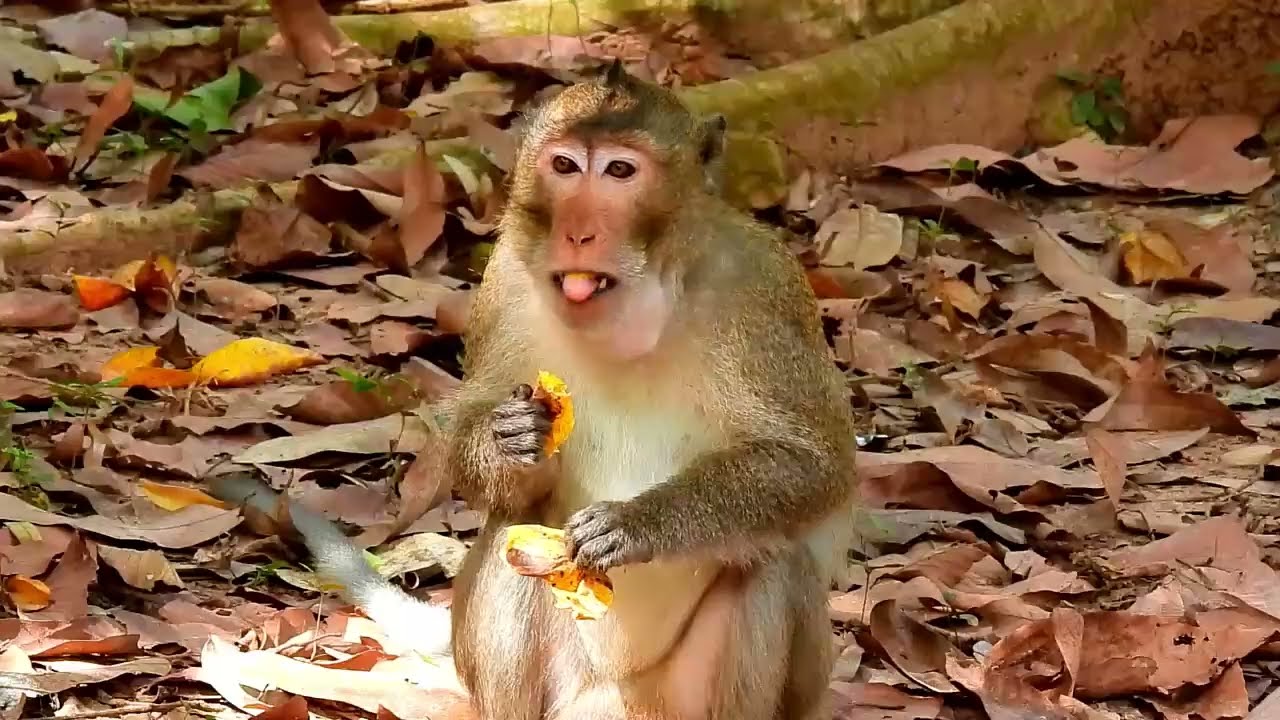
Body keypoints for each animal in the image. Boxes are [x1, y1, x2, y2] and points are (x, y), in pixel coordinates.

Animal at [212, 59, 857, 720]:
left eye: (620, 171)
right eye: (565, 166)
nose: (576, 233)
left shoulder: (763, 290)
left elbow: (811, 464)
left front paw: (641, 522)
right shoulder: (503, 284)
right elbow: (481, 446)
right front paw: (511, 438)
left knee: (771, 560)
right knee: (510, 538)